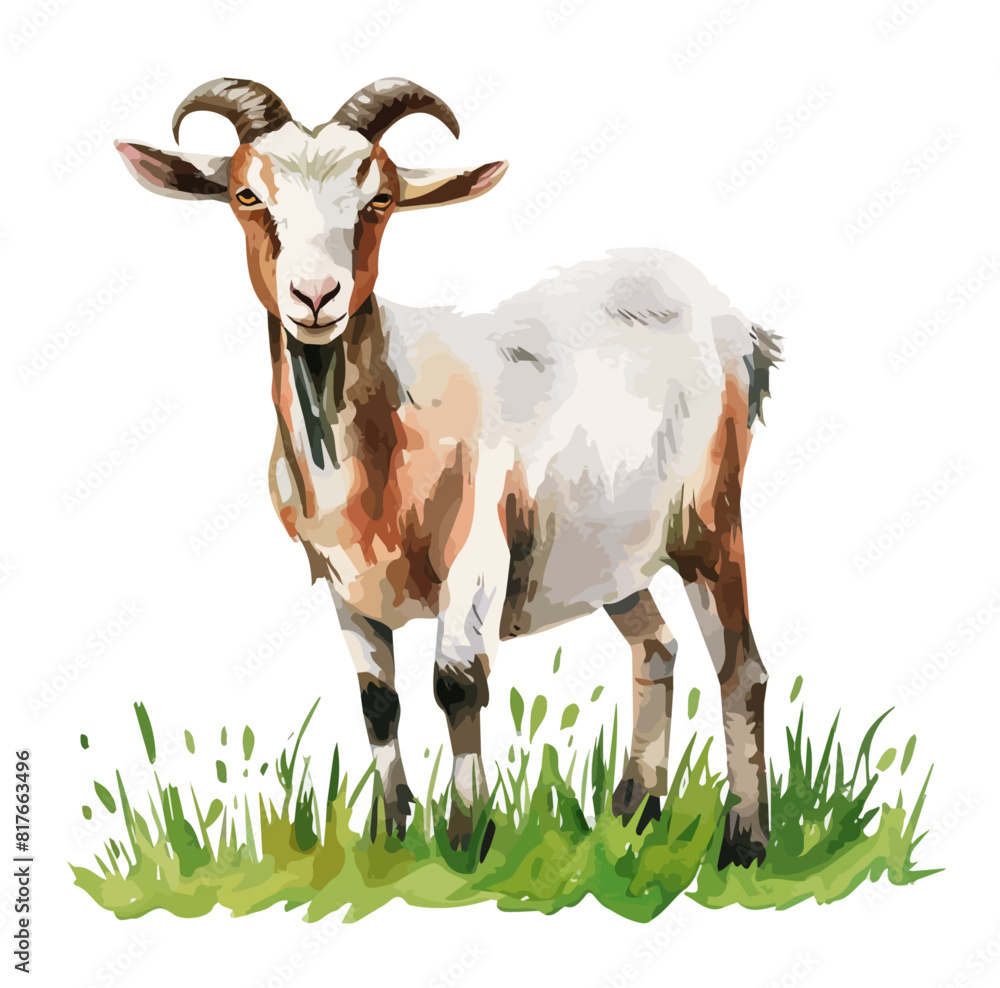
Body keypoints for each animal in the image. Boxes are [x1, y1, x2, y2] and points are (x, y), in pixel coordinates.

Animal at [116, 77, 780, 867]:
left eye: (380, 199)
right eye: (247, 194)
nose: (315, 297)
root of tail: (742, 329)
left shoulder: (477, 554)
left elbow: (457, 685)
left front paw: (469, 841)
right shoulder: (344, 583)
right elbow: (378, 703)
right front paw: (388, 837)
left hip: (710, 518)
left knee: (740, 668)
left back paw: (744, 843)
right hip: (607, 548)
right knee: (657, 649)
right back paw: (633, 813)